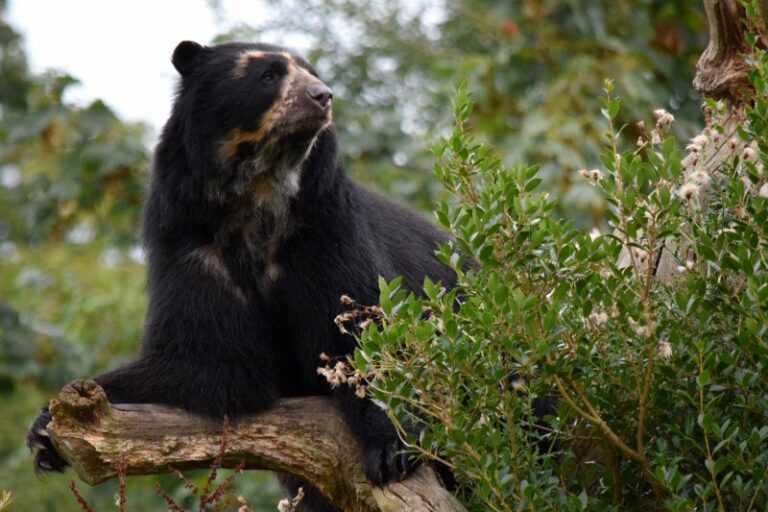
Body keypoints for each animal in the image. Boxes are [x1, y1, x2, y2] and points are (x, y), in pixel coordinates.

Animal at [26, 41, 458, 510]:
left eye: (312, 73)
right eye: (268, 76)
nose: (323, 96)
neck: (259, 193)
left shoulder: (324, 231)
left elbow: (363, 337)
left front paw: (391, 452)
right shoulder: (194, 248)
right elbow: (209, 361)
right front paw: (46, 431)